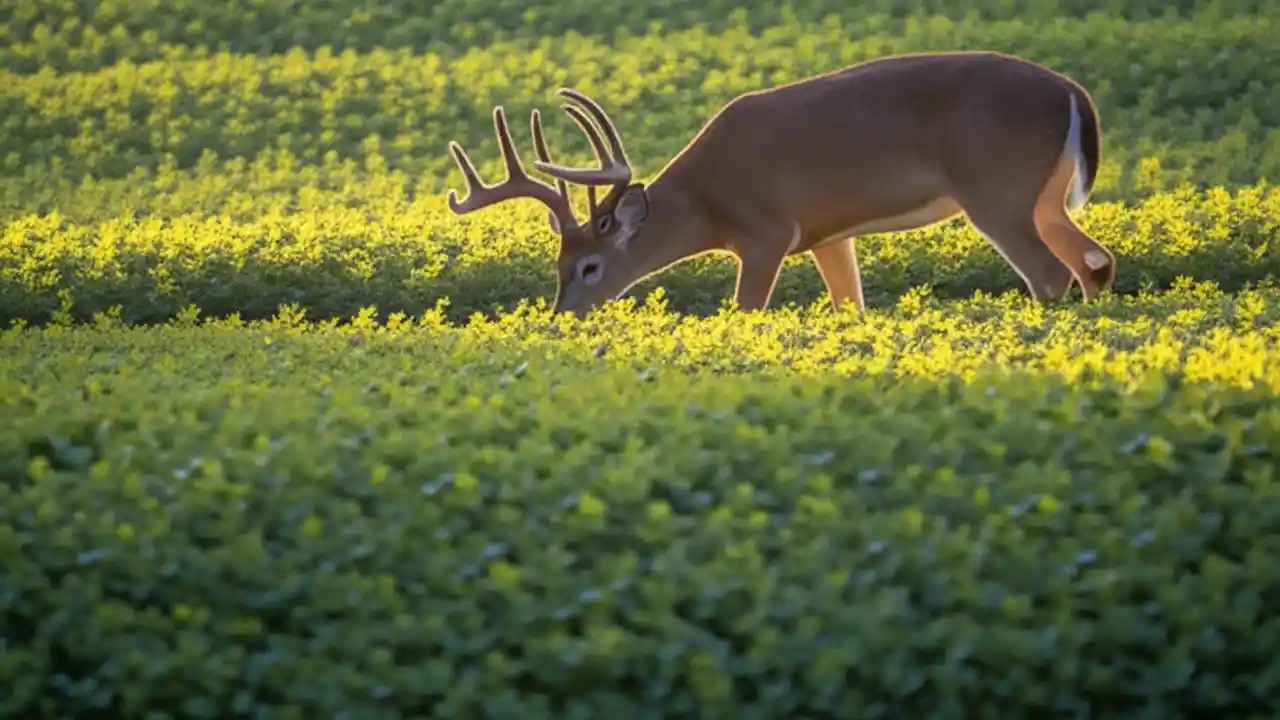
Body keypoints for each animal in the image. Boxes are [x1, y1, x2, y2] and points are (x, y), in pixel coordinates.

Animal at [445, 50, 1115, 318]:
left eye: (588, 267)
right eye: (556, 266)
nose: (563, 315)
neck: (708, 202)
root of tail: (1072, 91)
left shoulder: (766, 231)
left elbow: (745, 309)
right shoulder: (827, 233)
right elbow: (851, 304)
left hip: (997, 191)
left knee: (1051, 272)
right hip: (1044, 195)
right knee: (1095, 261)